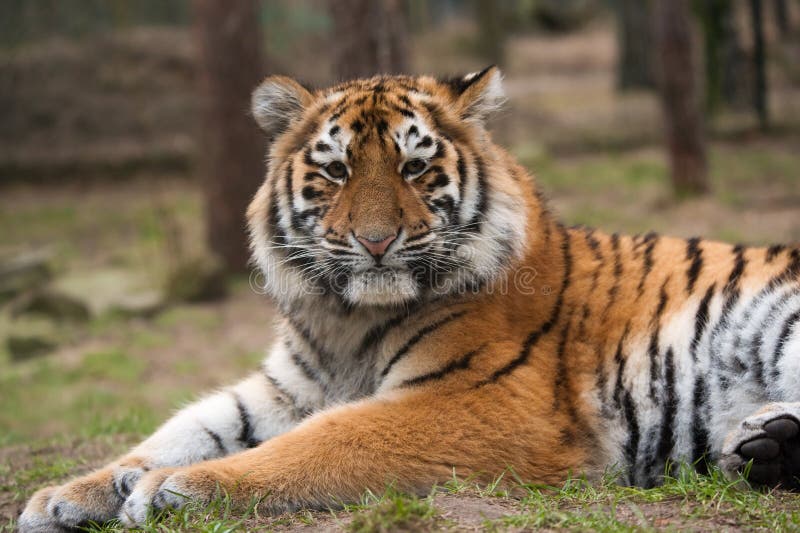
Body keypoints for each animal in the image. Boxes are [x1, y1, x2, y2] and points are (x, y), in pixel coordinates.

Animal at [19, 67, 800, 531]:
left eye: (415, 167)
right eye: (335, 171)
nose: (375, 241)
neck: (342, 318)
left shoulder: (477, 400)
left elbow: (328, 438)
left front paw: (174, 487)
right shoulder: (284, 387)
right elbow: (184, 427)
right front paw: (69, 493)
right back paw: (766, 443)